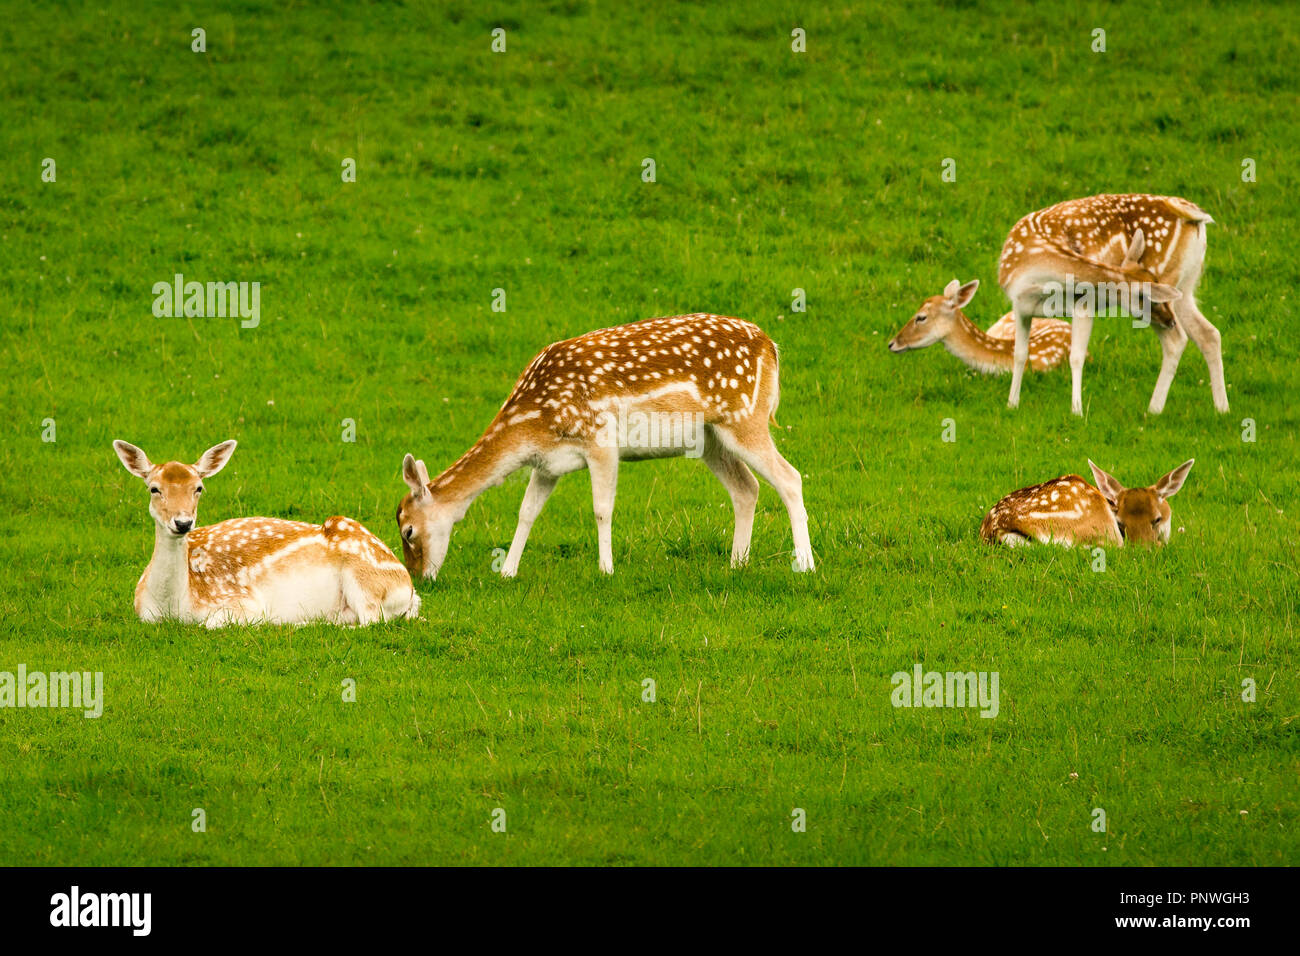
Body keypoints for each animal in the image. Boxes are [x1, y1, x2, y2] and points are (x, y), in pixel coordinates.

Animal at [114, 440, 419, 627]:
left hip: (366, 580)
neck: (174, 606)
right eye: (154, 488)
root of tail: (410, 588)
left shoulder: (243, 602)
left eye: (198, 487)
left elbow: (211, 623)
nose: (183, 522)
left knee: (370, 620)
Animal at [396, 313, 814, 579]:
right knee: (747, 488)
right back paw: (736, 564)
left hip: (745, 417)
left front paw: (606, 570)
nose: (420, 578)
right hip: (711, 439)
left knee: (790, 478)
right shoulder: (547, 464)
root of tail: (771, 347)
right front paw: (508, 572)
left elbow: (601, 509)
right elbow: (527, 512)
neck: (533, 421)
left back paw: (805, 565)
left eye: (408, 531)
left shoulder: (600, 440)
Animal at [998, 193, 1224, 416]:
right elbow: (1020, 354)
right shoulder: (1020, 308)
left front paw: (1077, 411)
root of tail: (1193, 214)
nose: (1169, 320)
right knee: (1209, 333)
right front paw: (1012, 404)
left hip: (1171, 279)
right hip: (1185, 287)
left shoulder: (1083, 302)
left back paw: (1153, 409)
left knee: (1176, 340)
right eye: (1146, 297)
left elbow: (1076, 356)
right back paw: (1222, 409)